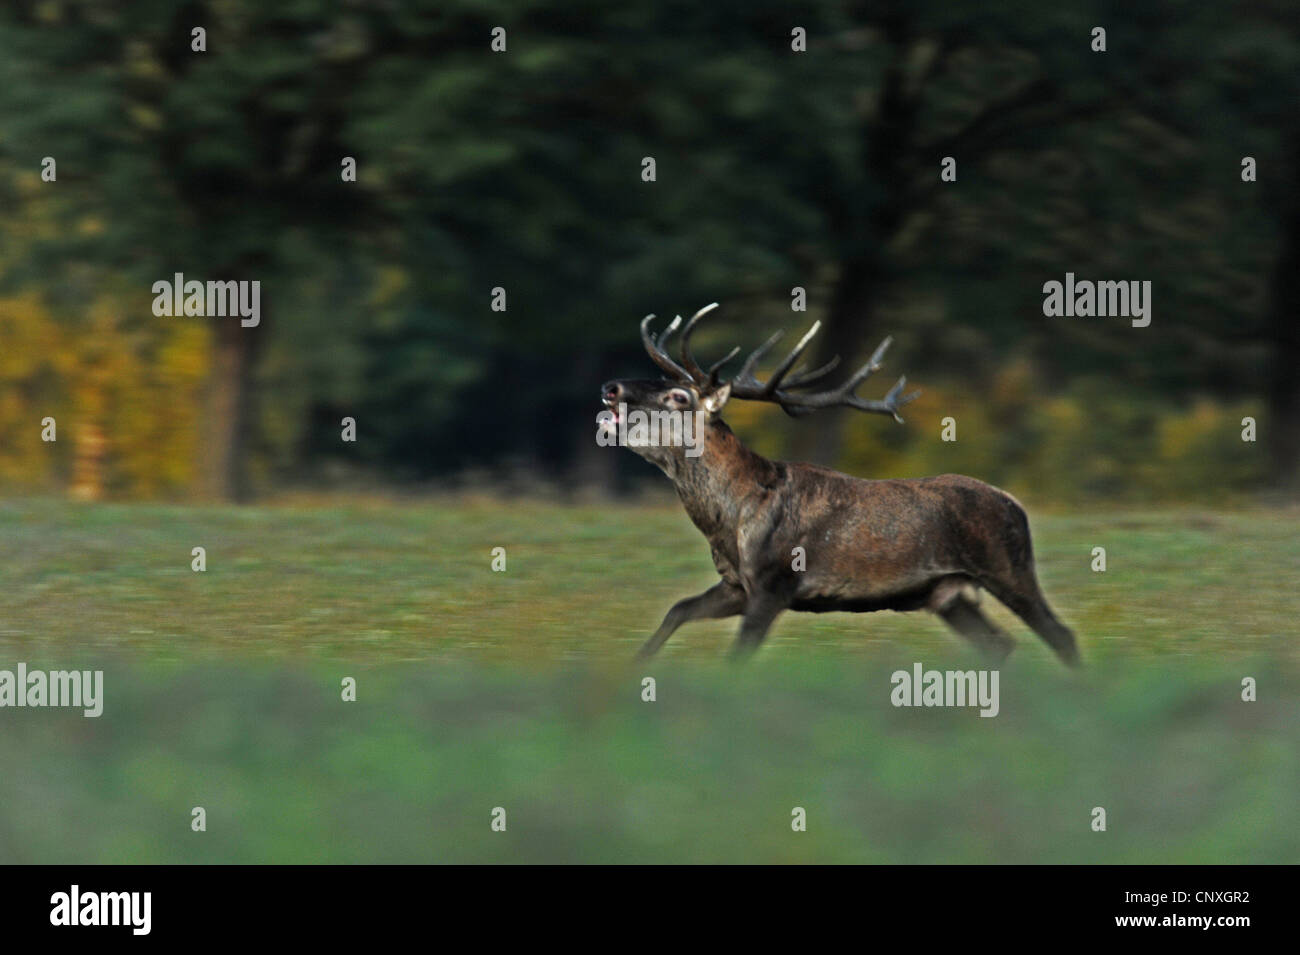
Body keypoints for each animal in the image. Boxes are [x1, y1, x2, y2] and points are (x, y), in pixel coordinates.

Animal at [600, 303, 1081, 667]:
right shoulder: (737, 585)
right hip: (949, 594)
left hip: (1007, 567)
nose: (611, 387)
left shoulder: (775, 582)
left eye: (678, 397)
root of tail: (1016, 504)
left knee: (1061, 634)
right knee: (1000, 643)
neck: (730, 522)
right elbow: (676, 610)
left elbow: (736, 656)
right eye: (665, 382)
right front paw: (633, 668)